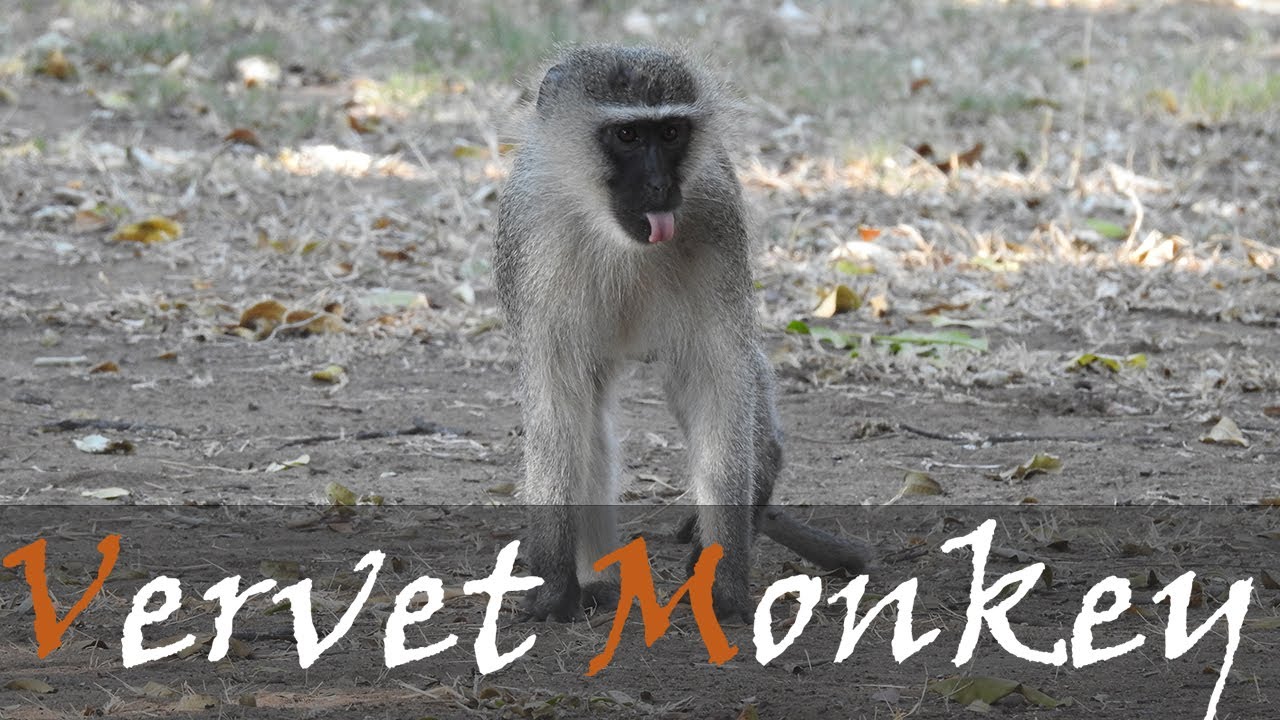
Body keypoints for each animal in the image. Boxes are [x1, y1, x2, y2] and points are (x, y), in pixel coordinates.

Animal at [493, 45, 870, 623]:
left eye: (671, 133)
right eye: (627, 136)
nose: (659, 188)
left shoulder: (717, 219)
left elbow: (719, 383)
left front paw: (724, 581)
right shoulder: (535, 243)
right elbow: (558, 406)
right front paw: (555, 586)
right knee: (589, 419)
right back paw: (598, 581)